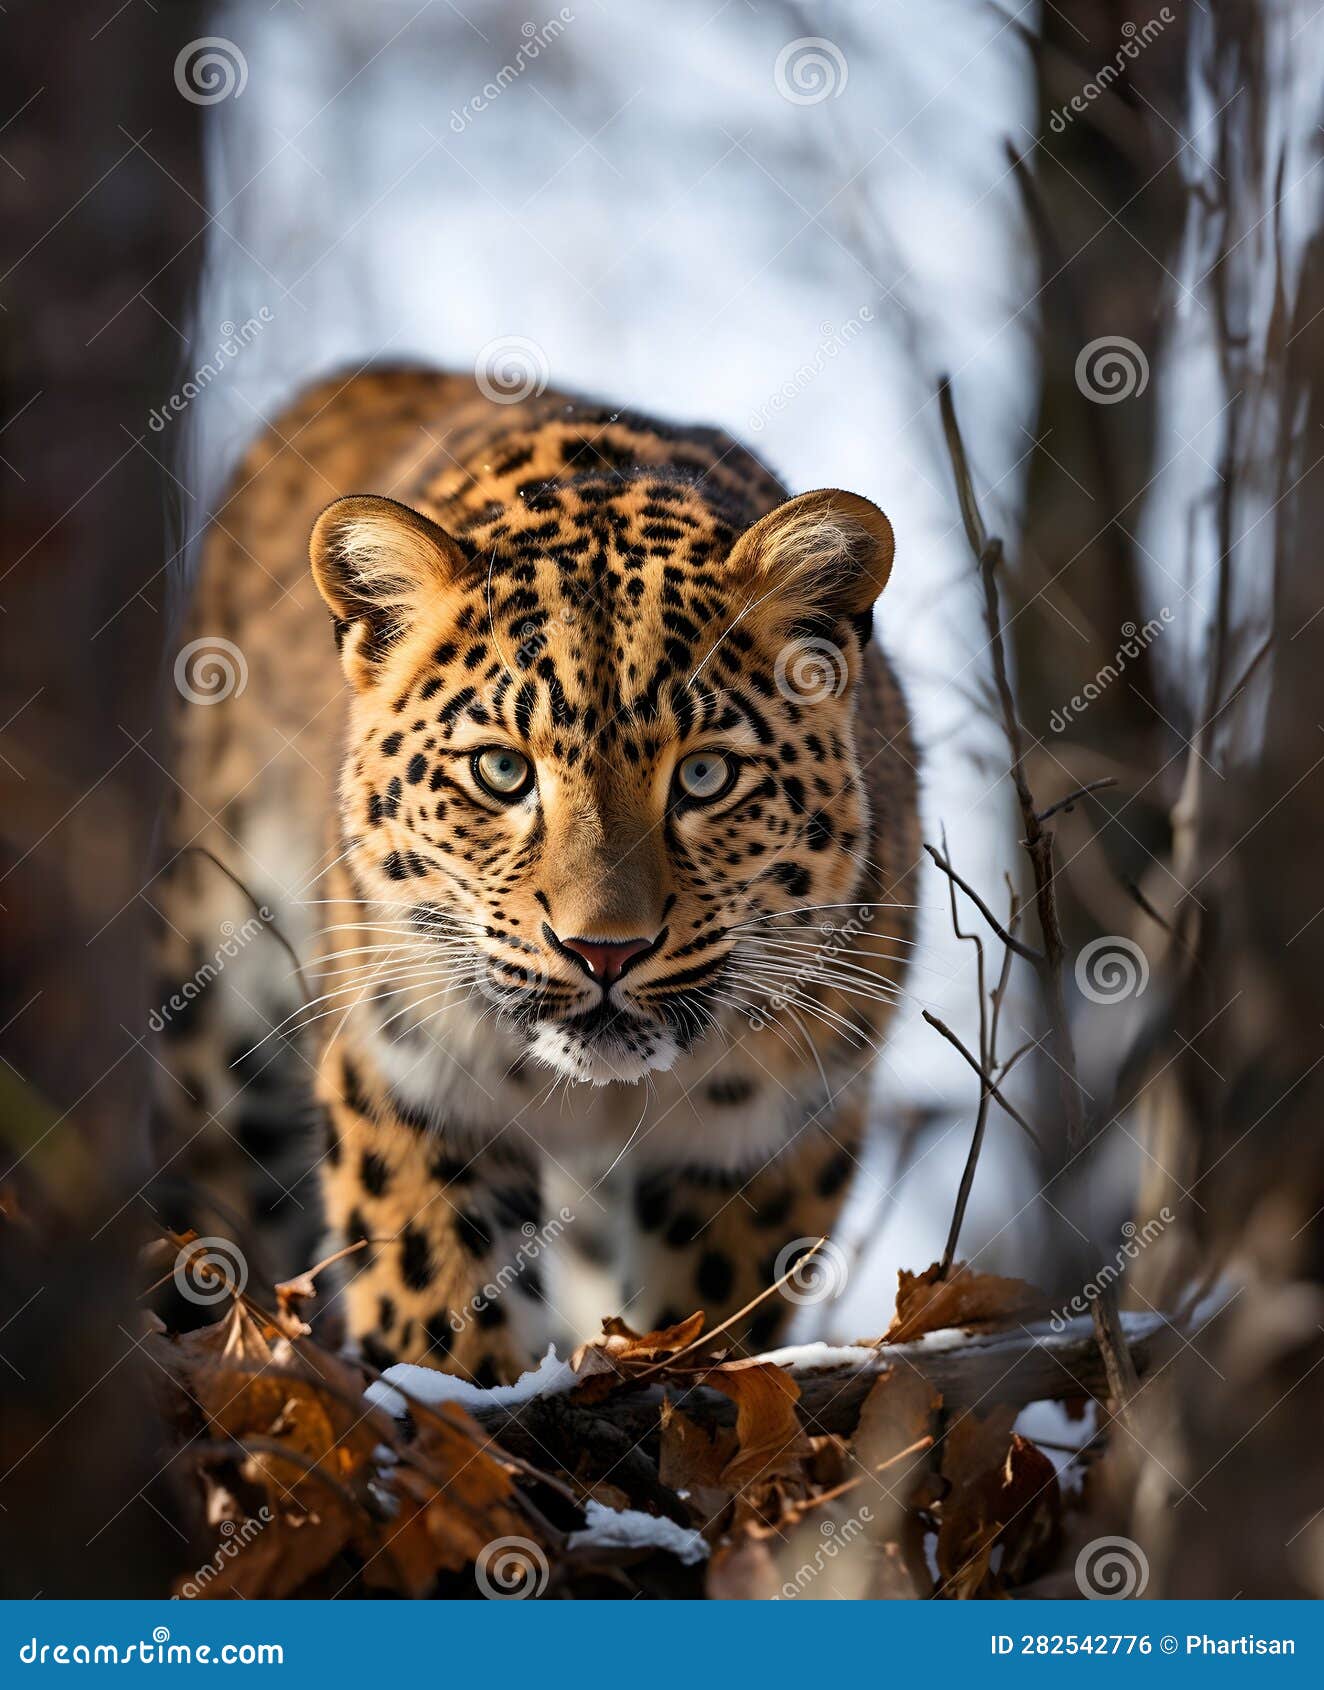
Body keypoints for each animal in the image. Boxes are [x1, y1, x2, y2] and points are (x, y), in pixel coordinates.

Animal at [152, 365, 919, 1384]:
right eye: (502, 771)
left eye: (704, 777)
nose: (605, 953)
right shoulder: (408, 1083)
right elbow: (438, 1309)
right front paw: (464, 1404)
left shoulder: (774, 1129)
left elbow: (709, 1311)